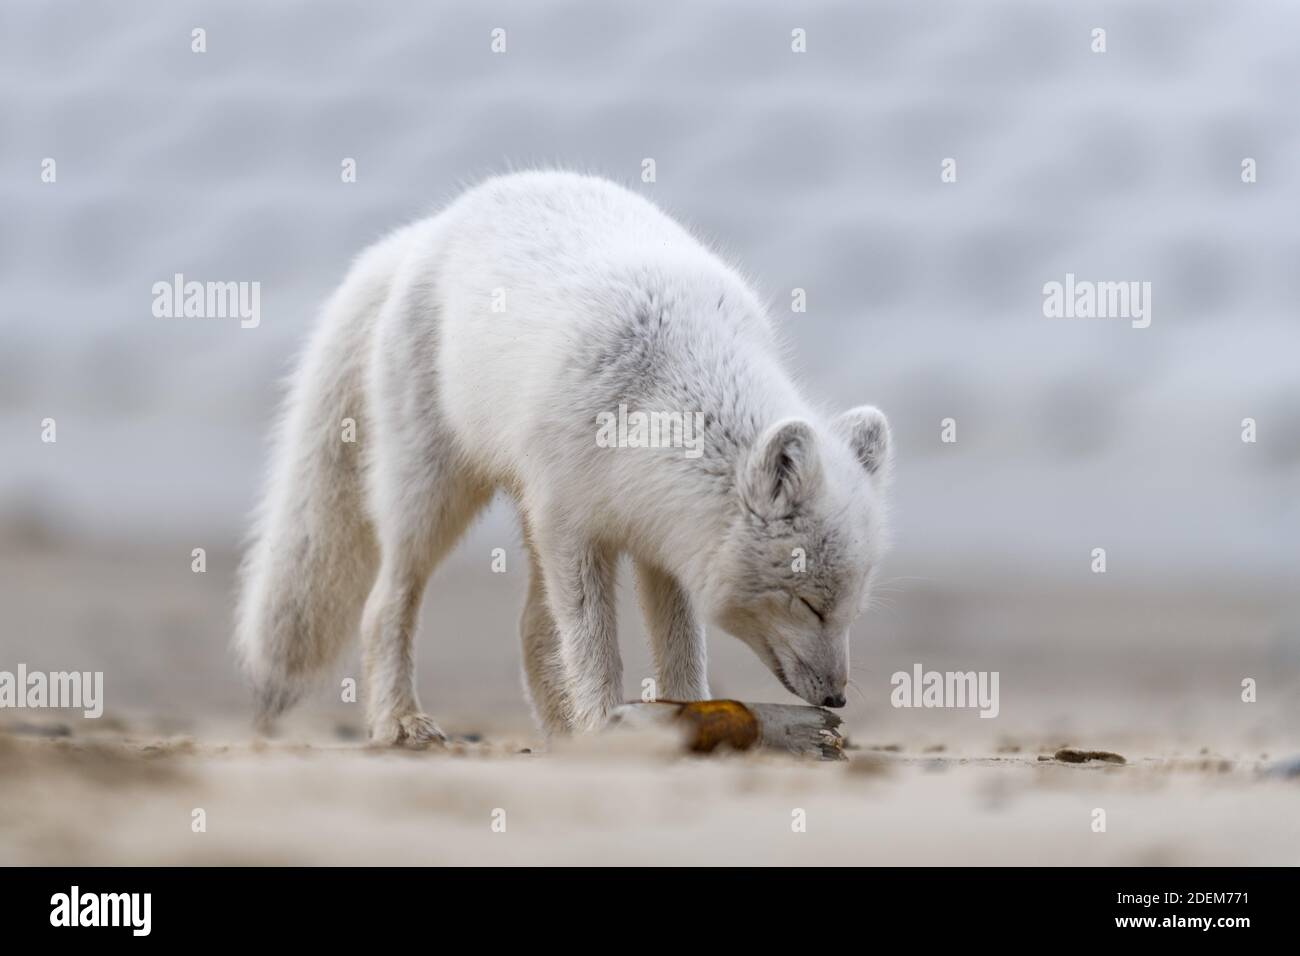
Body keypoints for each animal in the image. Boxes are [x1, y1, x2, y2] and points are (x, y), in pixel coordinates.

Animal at [235, 170, 893, 745]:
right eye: (809, 605)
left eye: (851, 611)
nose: (837, 698)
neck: (652, 394)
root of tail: (431, 228)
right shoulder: (575, 530)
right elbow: (595, 648)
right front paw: (608, 725)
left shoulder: (661, 543)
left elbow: (678, 651)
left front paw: (690, 717)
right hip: (433, 496)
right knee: (384, 607)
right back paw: (400, 721)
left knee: (532, 628)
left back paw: (561, 737)